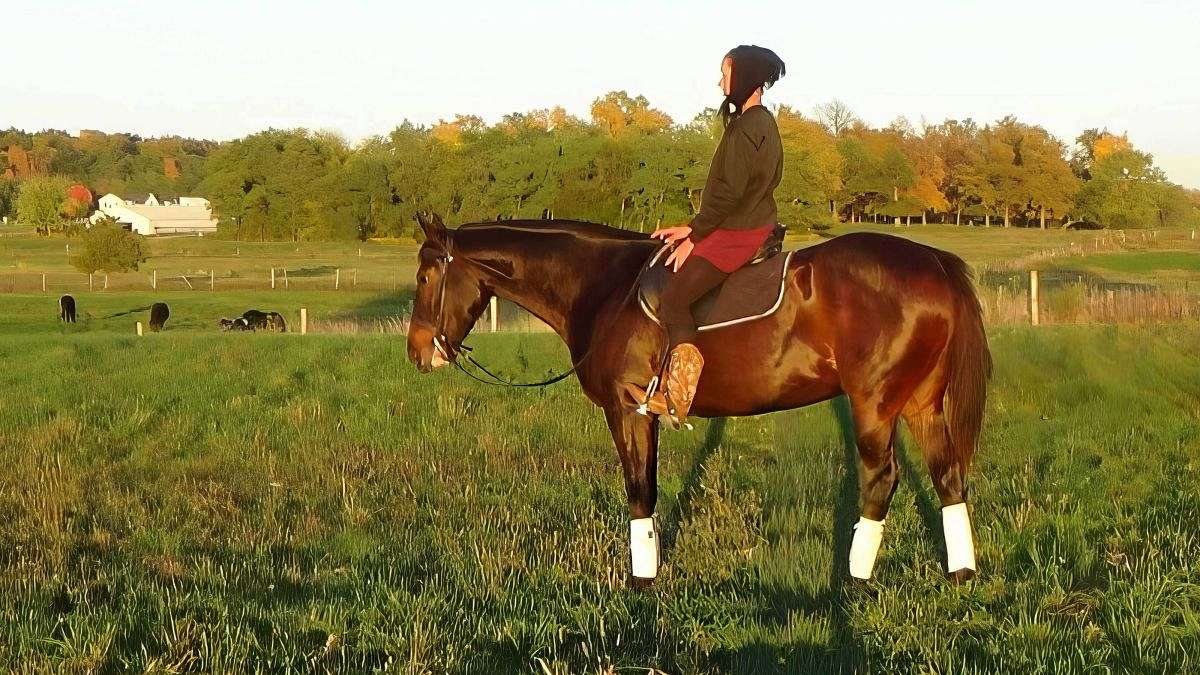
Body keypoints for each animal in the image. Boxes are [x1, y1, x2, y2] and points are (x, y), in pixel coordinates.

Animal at [406, 212, 991, 586]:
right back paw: (960, 572)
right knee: (948, 475)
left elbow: (639, 489)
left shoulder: (627, 410)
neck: (605, 286)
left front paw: (642, 580)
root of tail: (934, 262)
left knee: (882, 479)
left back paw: (854, 577)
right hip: (920, 404)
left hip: (874, 404)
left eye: (426, 275)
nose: (417, 351)